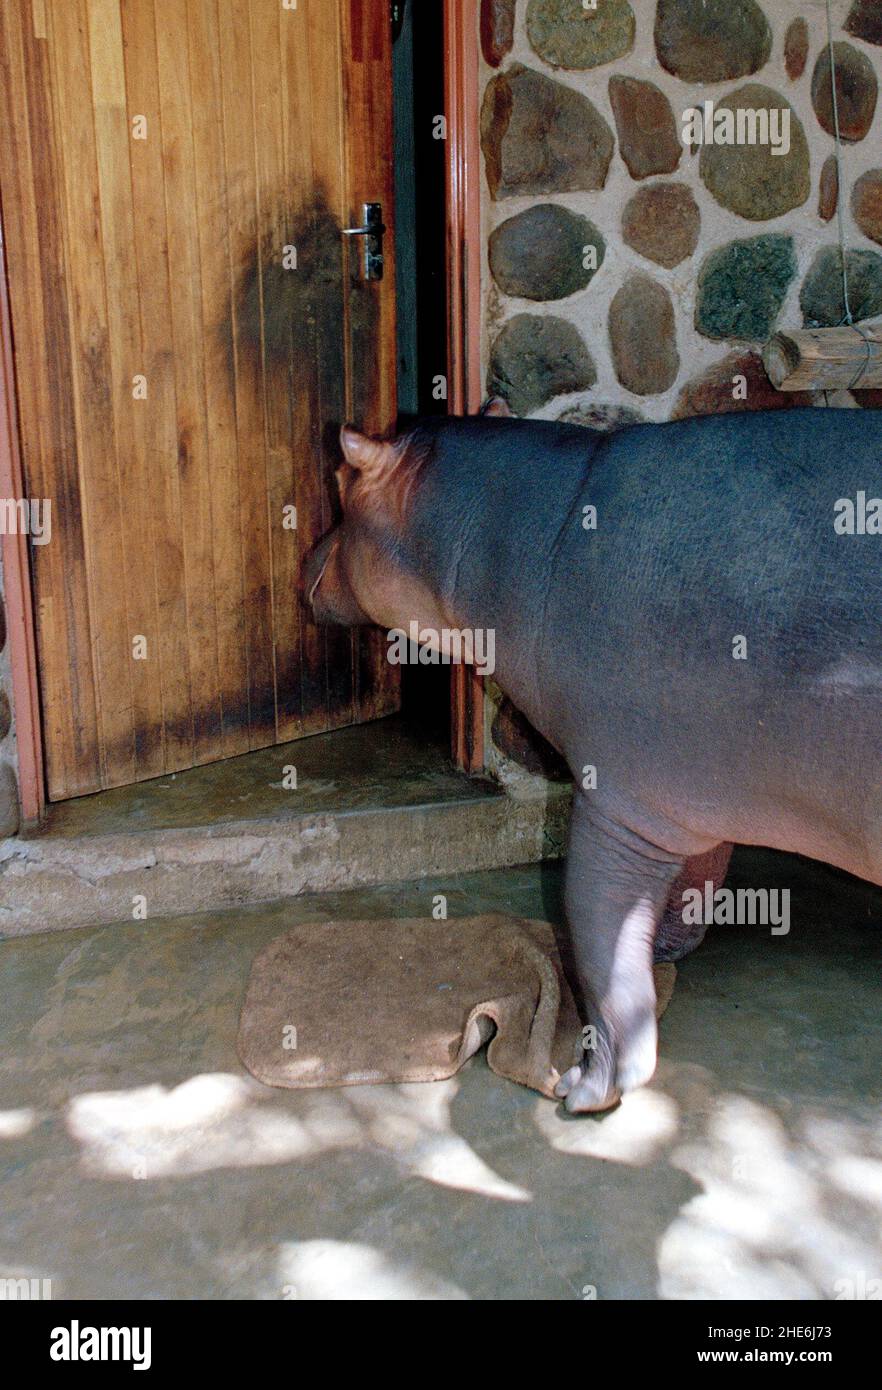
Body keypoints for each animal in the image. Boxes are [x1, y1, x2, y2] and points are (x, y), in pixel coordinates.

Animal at [302, 402, 882, 1113]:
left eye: (341, 478)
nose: (304, 556)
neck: (521, 530)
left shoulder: (619, 803)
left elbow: (599, 932)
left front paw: (584, 1088)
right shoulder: (691, 801)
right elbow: (693, 881)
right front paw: (666, 951)